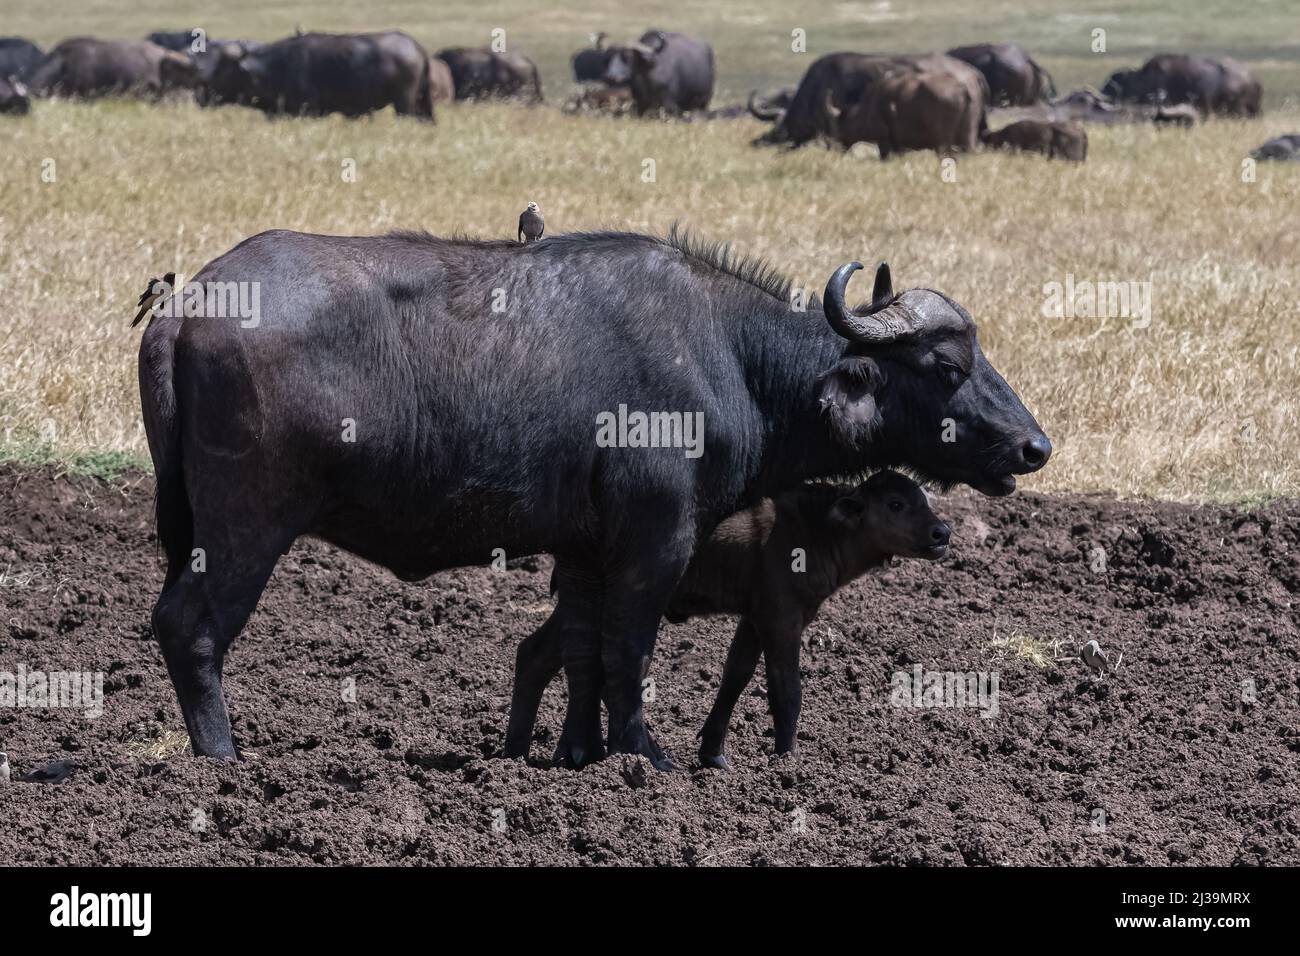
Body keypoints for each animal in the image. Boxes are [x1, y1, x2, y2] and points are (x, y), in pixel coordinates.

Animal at [506, 470, 949, 767]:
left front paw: (714, 753)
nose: (941, 534)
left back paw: (514, 752)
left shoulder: (755, 618)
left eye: (923, 499)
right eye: (895, 504)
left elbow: (735, 676)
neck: (817, 531)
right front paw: (789, 758)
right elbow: (786, 689)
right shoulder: (781, 618)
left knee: (540, 655)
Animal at [825, 68, 983, 157]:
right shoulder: (899, 146)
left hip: (943, 142)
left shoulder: (885, 142)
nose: (834, 147)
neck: (869, 107)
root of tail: (962, 87)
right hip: (967, 136)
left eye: (837, 126)